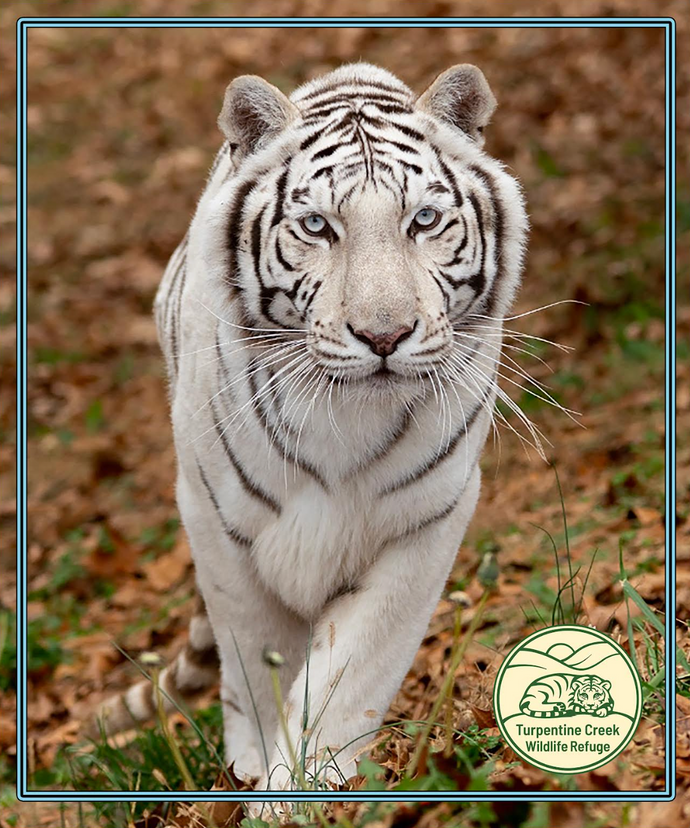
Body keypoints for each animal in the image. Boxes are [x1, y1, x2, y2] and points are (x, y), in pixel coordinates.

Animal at [92, 62, 528, 793]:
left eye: (424, 219)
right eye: (318, 226)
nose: (384, 336)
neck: (345, 417)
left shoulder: (424, 523)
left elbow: (350, 673)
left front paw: (306, 788)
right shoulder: (219, 523)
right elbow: (256, 662)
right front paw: (255, 773)